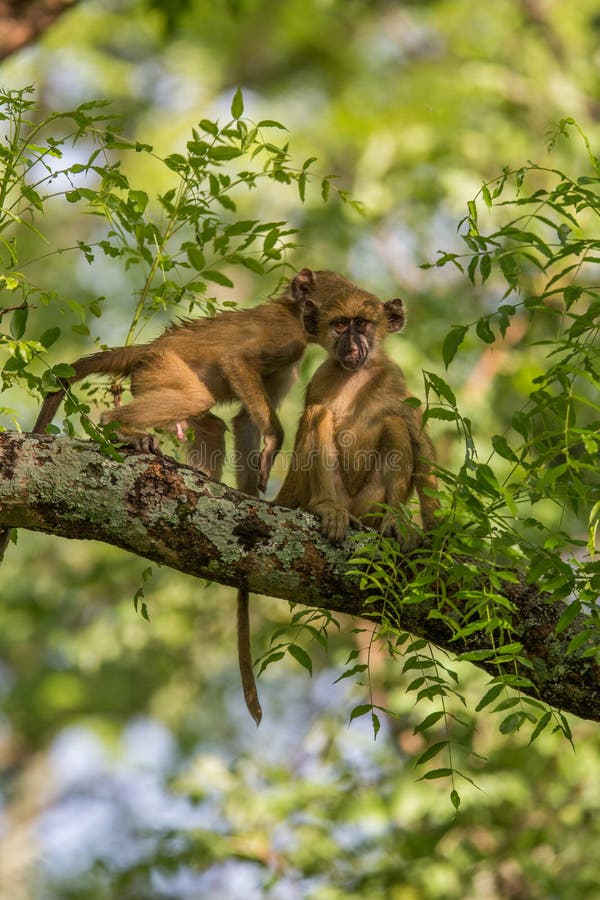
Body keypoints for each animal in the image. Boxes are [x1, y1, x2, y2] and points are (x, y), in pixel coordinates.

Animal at [275, 277, 439, 549]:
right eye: (340, 325)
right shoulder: (320, 378)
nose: (352, 348)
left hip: (370, 505)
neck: (356, 374)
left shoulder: (394, 378)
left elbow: (420, 442)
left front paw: (441, 533)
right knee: (318, 413)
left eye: (361, 324)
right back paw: (327, 506)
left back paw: (395, 518)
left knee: (394, 423)